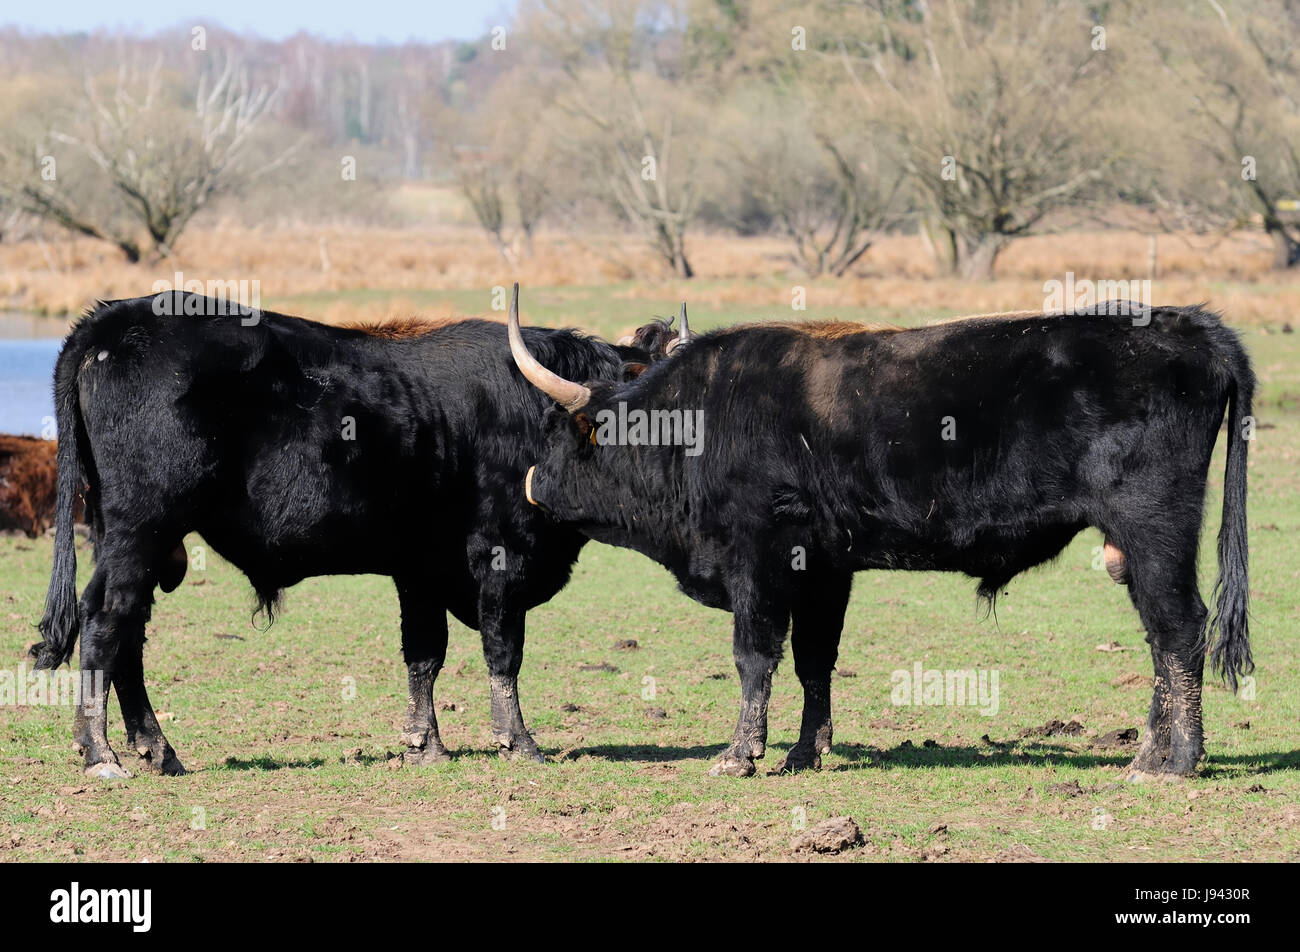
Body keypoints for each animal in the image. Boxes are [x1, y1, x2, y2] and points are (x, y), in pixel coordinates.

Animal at [30, 290, 650, 779]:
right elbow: (504, 653)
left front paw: (425, 746)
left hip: (128, 536)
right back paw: (102, 754)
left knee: (128, 631)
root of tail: (114, 318)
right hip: (141, 529)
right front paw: (518, 743)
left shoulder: (421, 568)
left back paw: (159, 750)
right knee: (106, 619)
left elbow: (424, 654)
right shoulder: (501, 559)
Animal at [508, 301, 1255, 781]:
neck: (697, 417)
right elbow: (813, 660)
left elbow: (754, 656)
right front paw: (804, 753)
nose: (533, 482)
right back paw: (1150, 752)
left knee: (1179, 627)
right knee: (1160, 638)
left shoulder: (759, 556)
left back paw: (1175, 762)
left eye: (564, 433)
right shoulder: (823, 568)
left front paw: (739, 755)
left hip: (1154, 528)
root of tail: (1188, 325)